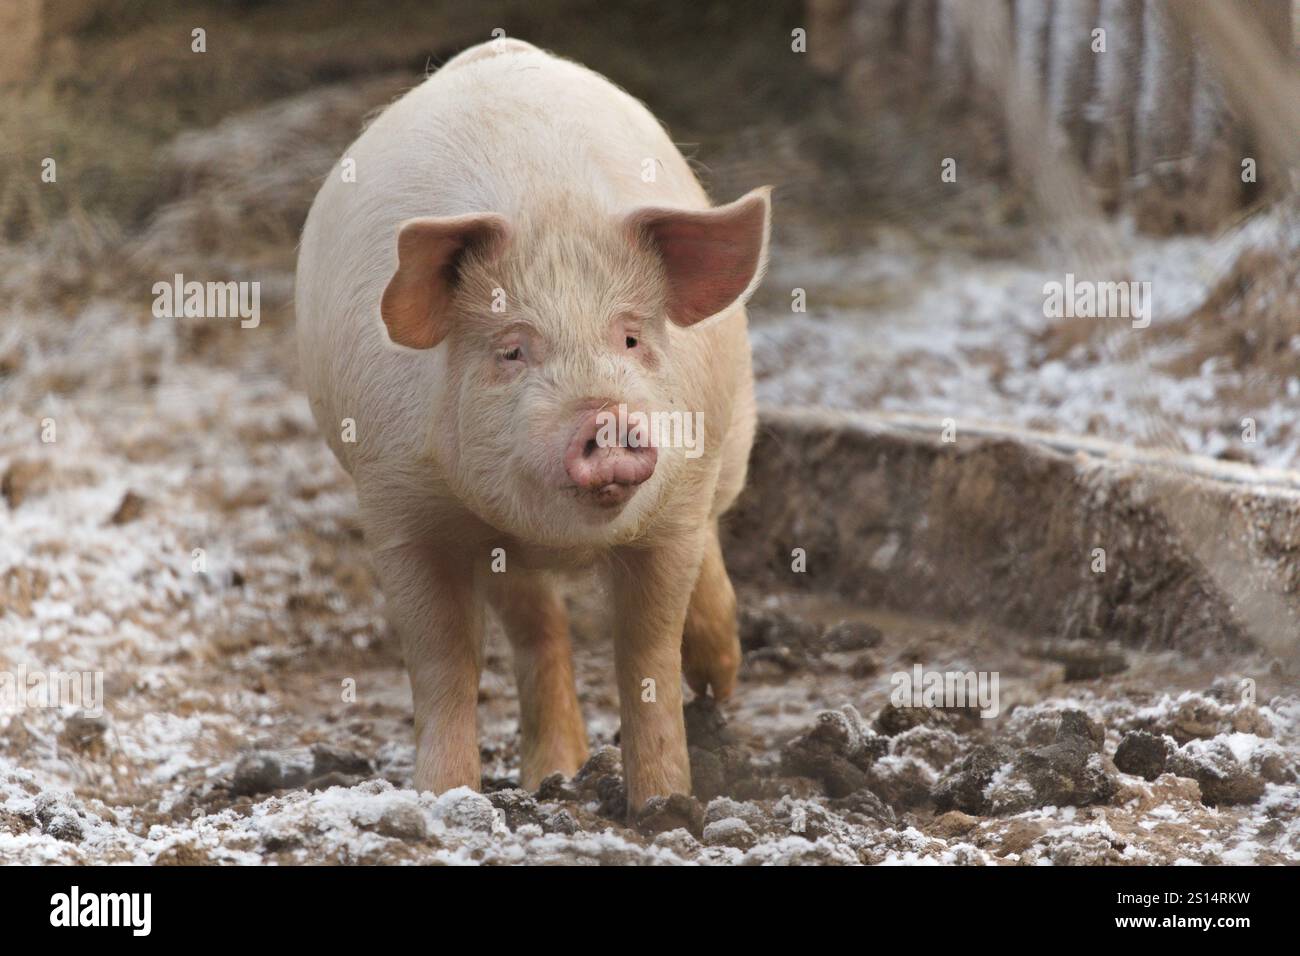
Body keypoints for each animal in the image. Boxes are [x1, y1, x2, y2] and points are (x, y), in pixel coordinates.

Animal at [294, 38, 769, 813]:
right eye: (513, 349)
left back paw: (717, 679)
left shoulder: (672, 511)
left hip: (727, 444)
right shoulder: (399, 507)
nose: (607, 416)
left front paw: (664, 808)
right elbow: (444, 663)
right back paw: (552, 775)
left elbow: (646, 655)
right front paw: (444, 799)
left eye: (631, 338)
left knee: (709, 542)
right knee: (536, 626)